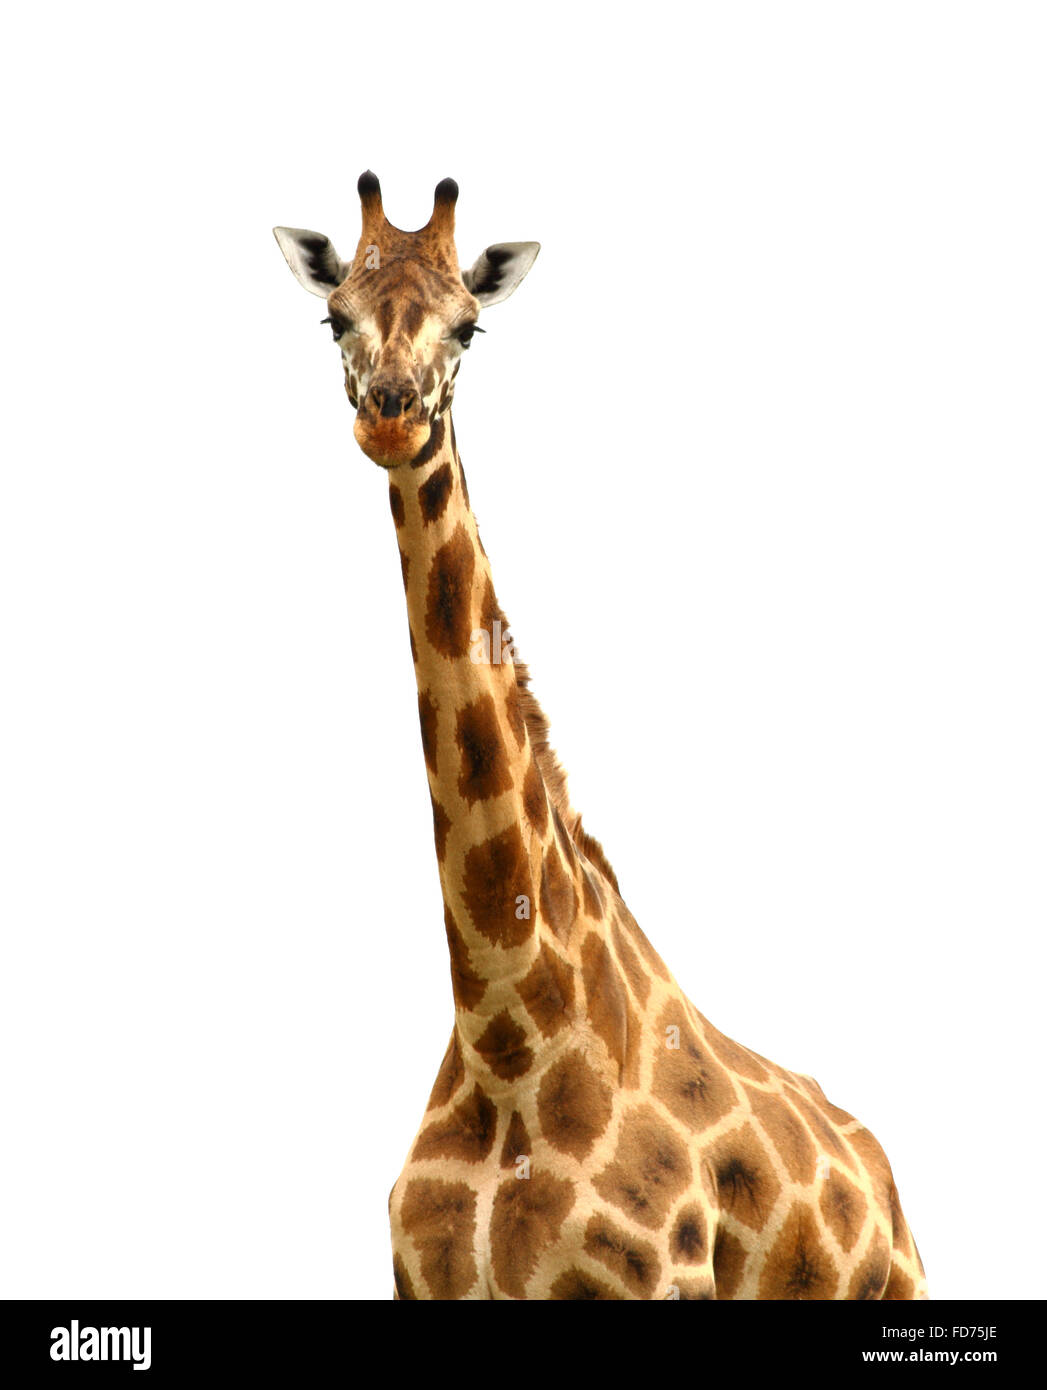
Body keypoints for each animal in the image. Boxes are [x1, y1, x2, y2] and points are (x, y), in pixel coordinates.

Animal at [274, 173, 928, 1301]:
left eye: (470, 324)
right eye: (334, 317)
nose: (391, 416)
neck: (507, 1029)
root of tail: (881, 1169)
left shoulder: (663, 1282)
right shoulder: (420, 1285)